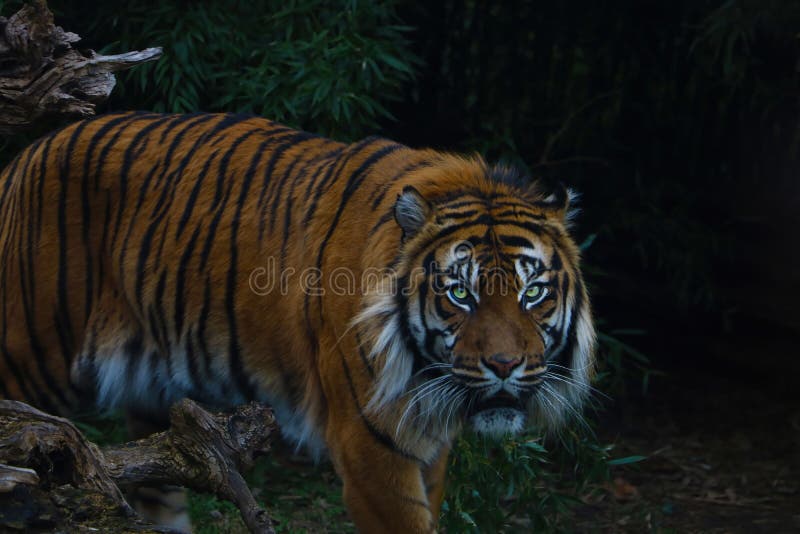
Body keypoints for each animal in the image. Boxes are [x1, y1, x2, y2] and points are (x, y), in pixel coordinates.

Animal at [0, 111, 596, 533]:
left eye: (533, 293)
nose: (505, 366)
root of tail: (21, 157)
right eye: (460, 294)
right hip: (32, 355)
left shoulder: (430, 446)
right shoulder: (370, 444)